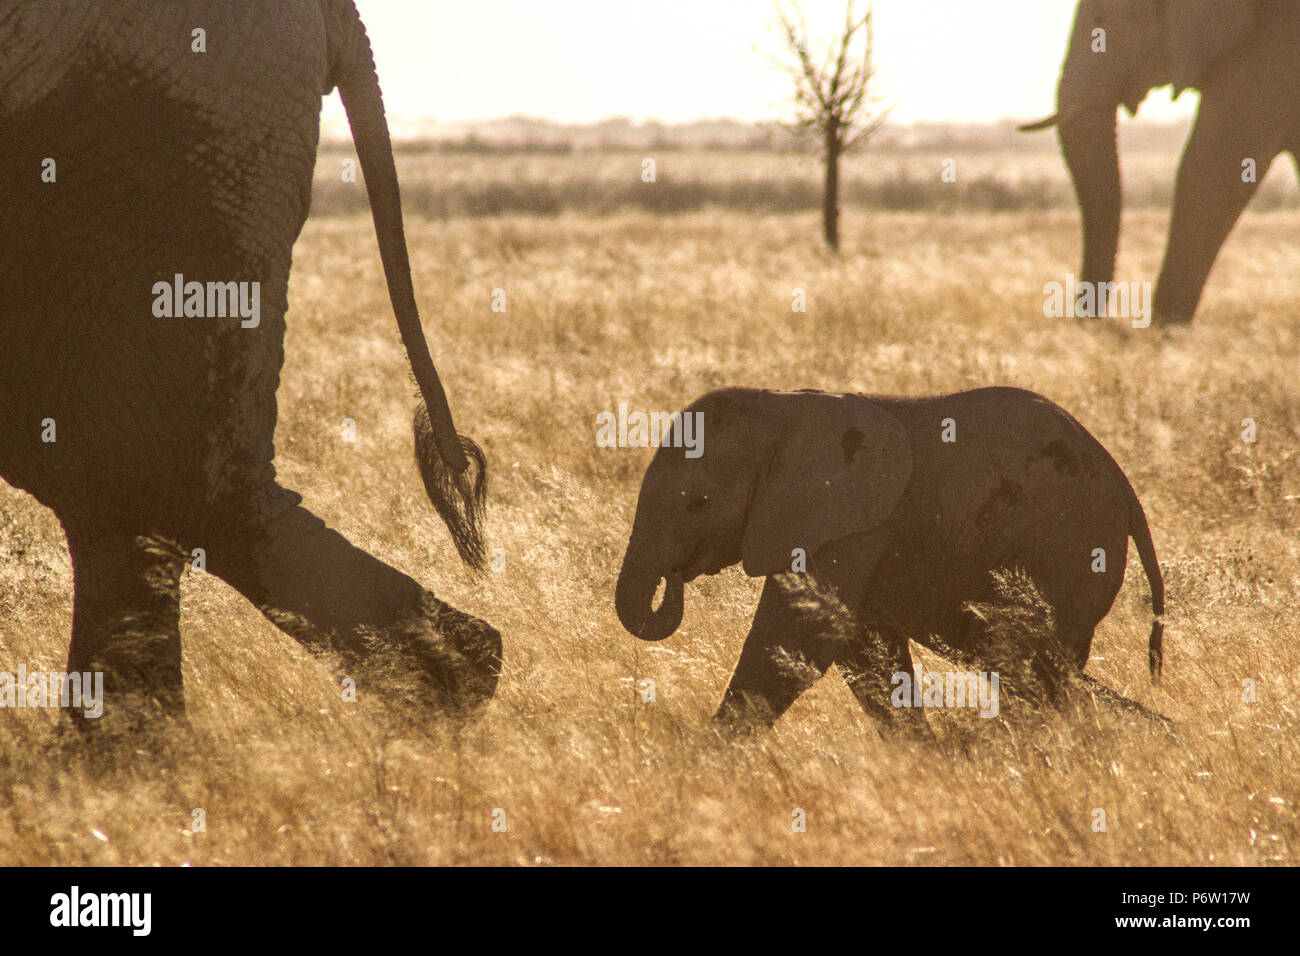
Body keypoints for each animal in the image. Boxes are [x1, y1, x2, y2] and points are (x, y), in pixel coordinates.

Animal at [615, 387, 1166, 737]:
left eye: (698, 503)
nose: (674, 576)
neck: (783, 409)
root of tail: (1127, 491)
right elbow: (864, 651)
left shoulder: (849, 523)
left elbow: (801, 636)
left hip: (1067, 544)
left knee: (1029, 666)